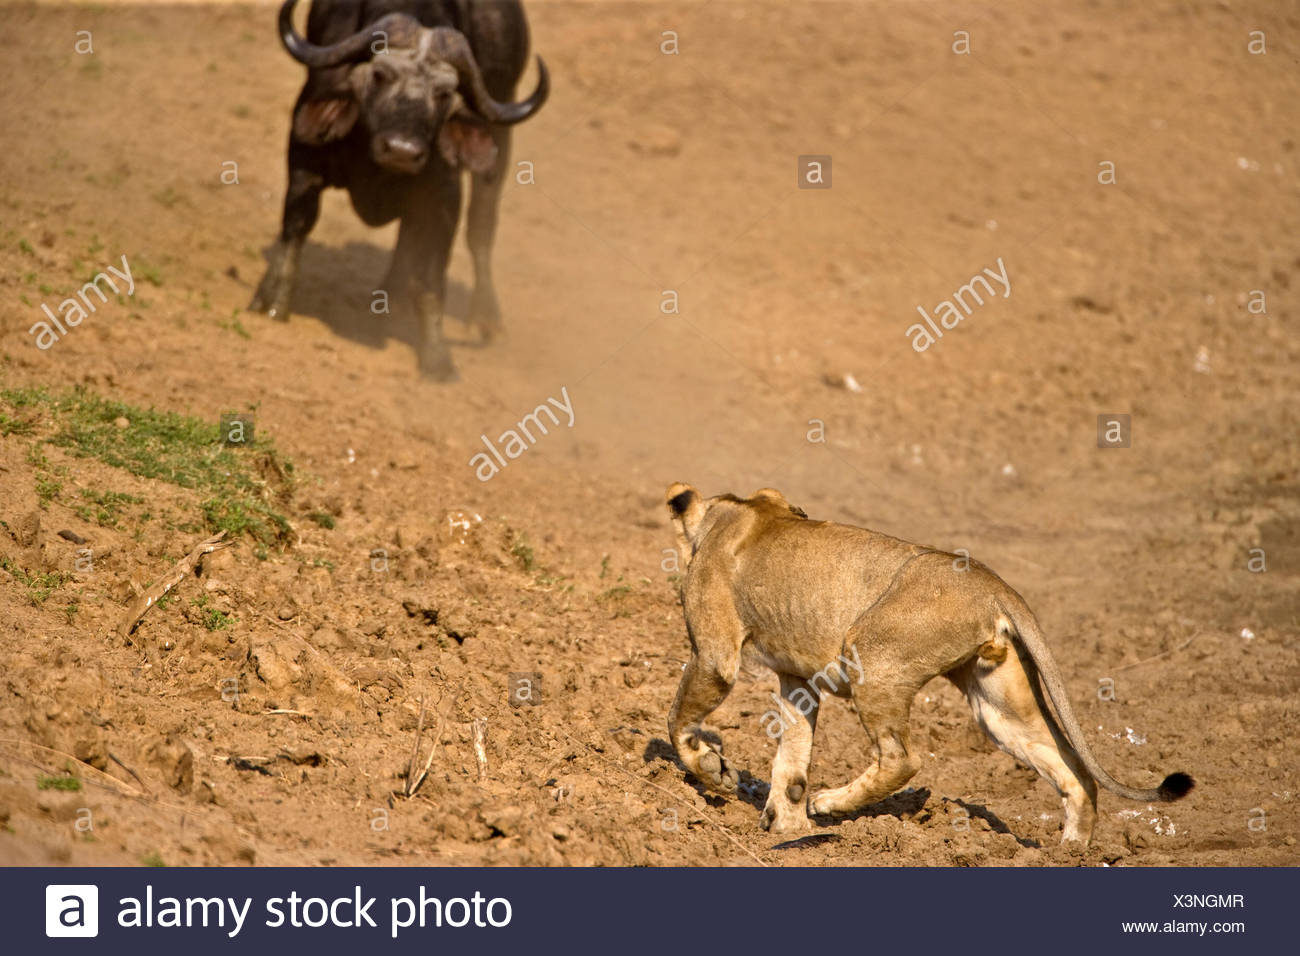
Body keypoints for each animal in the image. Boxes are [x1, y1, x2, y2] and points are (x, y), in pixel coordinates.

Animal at [250, 0, 549, 380]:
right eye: (380, 75)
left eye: (444, 93)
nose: (402, 151)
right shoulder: (305, 157)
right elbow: (295, 230)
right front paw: (271, 303)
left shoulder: (443, 198)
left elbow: (431, 275)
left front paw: (437, 358)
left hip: (500, 134)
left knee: (479, 227)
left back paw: (483, 319)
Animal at [664, 483, 1192, 843]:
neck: (739, 510)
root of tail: (994, 585)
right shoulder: (797, 679)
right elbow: (792, 756)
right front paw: (787, 828)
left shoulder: (715, 654)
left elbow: (678, 720)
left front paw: (712, 770)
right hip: (998, 703)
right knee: (1072, 769)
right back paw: (1072, 851)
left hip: (871, 656)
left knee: (904, 758)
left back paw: (830, 803)